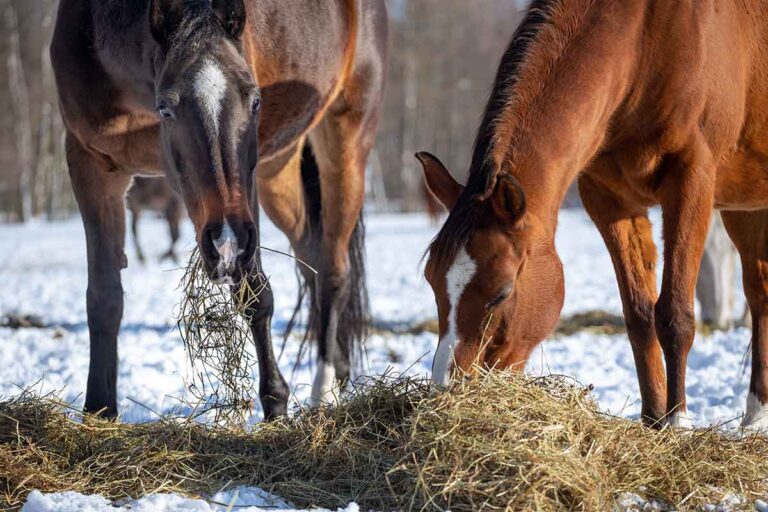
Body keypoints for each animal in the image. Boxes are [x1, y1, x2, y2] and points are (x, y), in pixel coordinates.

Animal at [50, 0, 387, 419]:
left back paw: (323, 391)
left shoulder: (245, 193)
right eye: (166, 109)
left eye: (255, 100)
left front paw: (275, 403)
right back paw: (339, 377)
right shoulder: (91, 167)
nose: (226, 240)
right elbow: (104, 297)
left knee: (334, 272)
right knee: (312, 259)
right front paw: (99, 410)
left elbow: (256, 296)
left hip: (345, 142)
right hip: (279, 171)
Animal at [416, 0, 768, 429]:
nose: (447, 391)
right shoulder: (608, 201)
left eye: (501, 292)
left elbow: (674, 316)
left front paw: (676, 424)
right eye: (432, 281)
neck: (643, 43)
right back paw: (755, 419)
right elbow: (639, 316)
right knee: (760, 296)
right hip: (744, 206)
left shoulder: (691, 182)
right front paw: (653, 422)